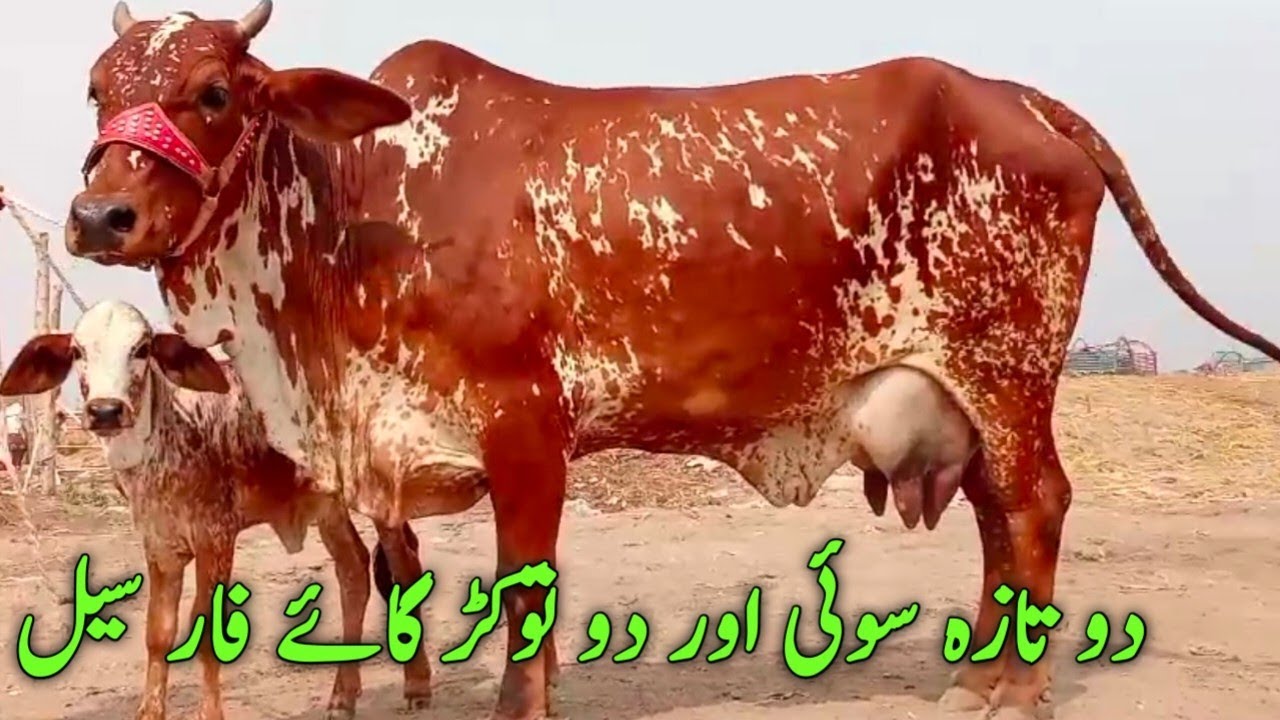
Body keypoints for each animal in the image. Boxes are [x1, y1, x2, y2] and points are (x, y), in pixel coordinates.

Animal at [0, 299, 388, 720]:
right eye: (77, 351)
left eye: (142, 349)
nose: (105, 411)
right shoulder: (159, 543)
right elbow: (158, 632)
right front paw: (149, 712)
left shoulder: (215, 537)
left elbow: (205, 631)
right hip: (328, 506)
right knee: (354, 570)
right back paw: (342, 697)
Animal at [66, 2, 1280, 718]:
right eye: (95, 88)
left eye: (215, 92)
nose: (97, 215)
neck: (355, 215)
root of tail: (1011, 94)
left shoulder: (527, 429)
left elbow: (525, 589)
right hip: (964, 392)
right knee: (993, 519)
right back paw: (972, 680)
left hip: (1009, 371)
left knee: (1033, 507)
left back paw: (1013, 694)